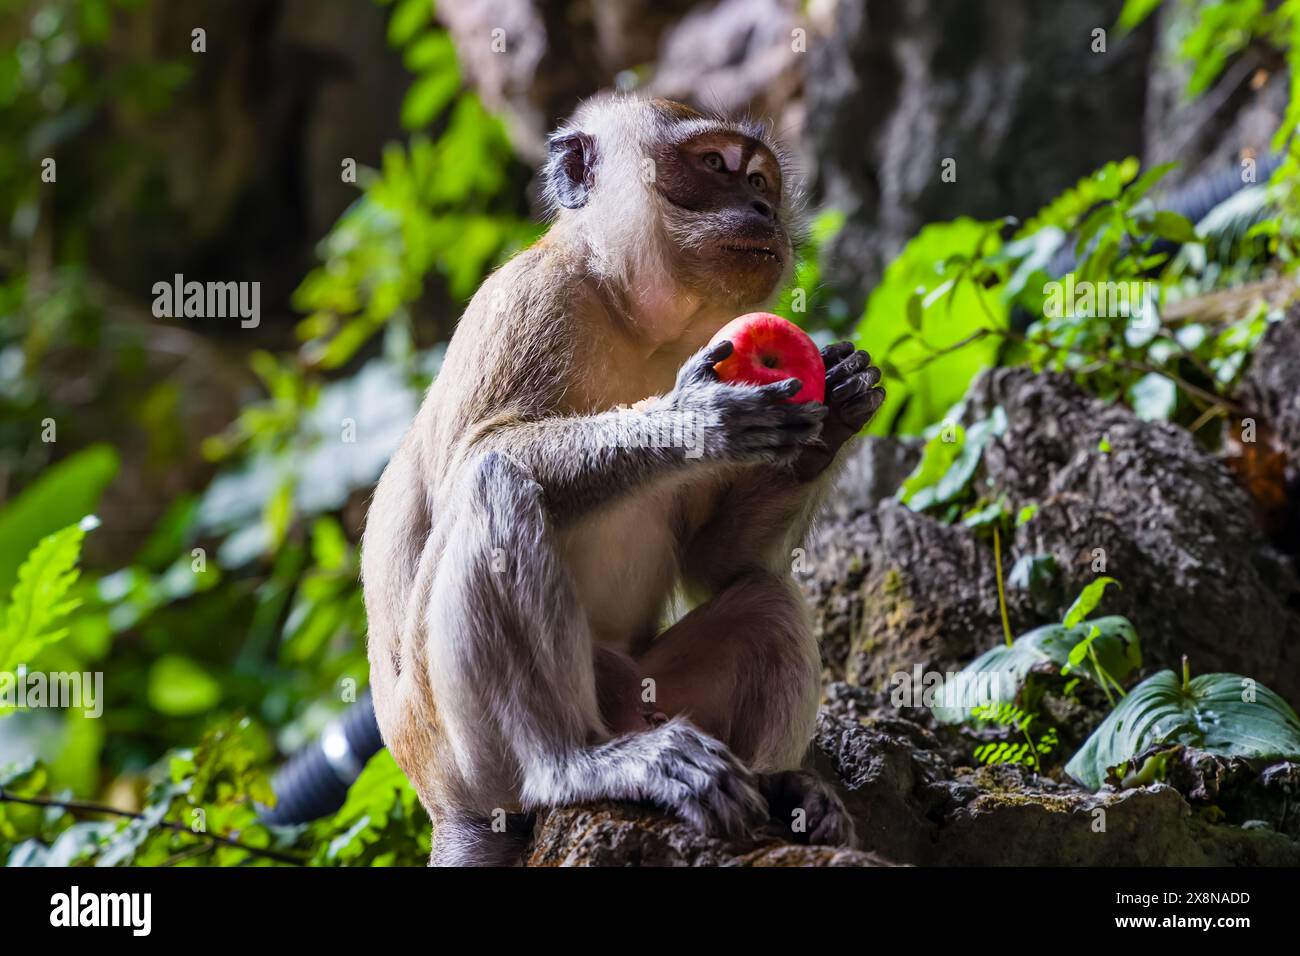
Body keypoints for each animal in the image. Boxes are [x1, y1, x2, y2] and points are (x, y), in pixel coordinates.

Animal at [361, 94, 885, 866]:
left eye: (761, 178)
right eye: (715, 164)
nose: (761, 205)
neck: (638, 322)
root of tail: (440, 806)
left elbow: (718, 562)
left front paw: (838, 411)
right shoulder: (527, 301)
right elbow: (477, 456)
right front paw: (691, 421)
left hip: (649, 695)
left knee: (764, 601)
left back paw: (779, 790)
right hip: (460, 751)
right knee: (495, 482)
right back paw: (573, 765)